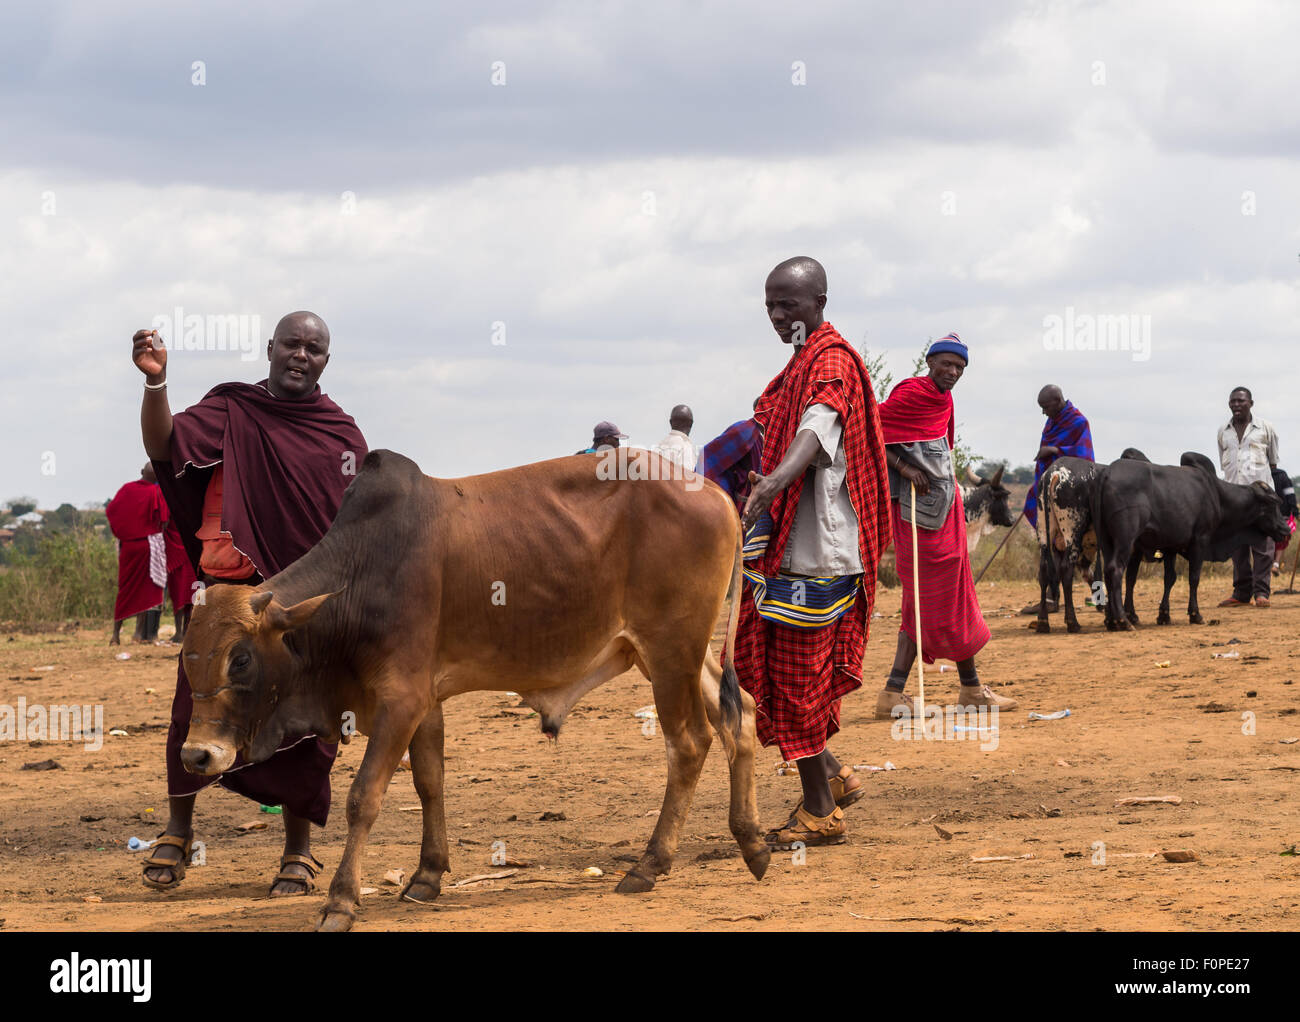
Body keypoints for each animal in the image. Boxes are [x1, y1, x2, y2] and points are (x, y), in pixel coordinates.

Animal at [178, 448, 769, 931]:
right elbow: (429, 783)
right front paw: (426, 876)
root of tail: (716, 492)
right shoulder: (426, 702)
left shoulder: (400, 701)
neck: (359, 576)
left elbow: (363, 797)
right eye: (186, 658)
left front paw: (341, 903)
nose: (196, 754)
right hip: (680, 655)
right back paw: (753, 842)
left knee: (689, 742)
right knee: (740, 717)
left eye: (241, 659)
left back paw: (649, 864)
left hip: (670, 652)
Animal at [1094, 451, 1290, 630]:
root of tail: (1107, 473)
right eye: (1273, 504)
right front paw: (1195, 614)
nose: (1286, 529)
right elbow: (1194, 578)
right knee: (1115, 570)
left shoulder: (1170, 546)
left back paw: (1111, 620)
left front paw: (1164, 615)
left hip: (1107, 541)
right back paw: (1123, 620)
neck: (1217, 493)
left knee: (1109, 573)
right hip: (1126, 540)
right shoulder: (1200, 541)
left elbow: (1169, 578)